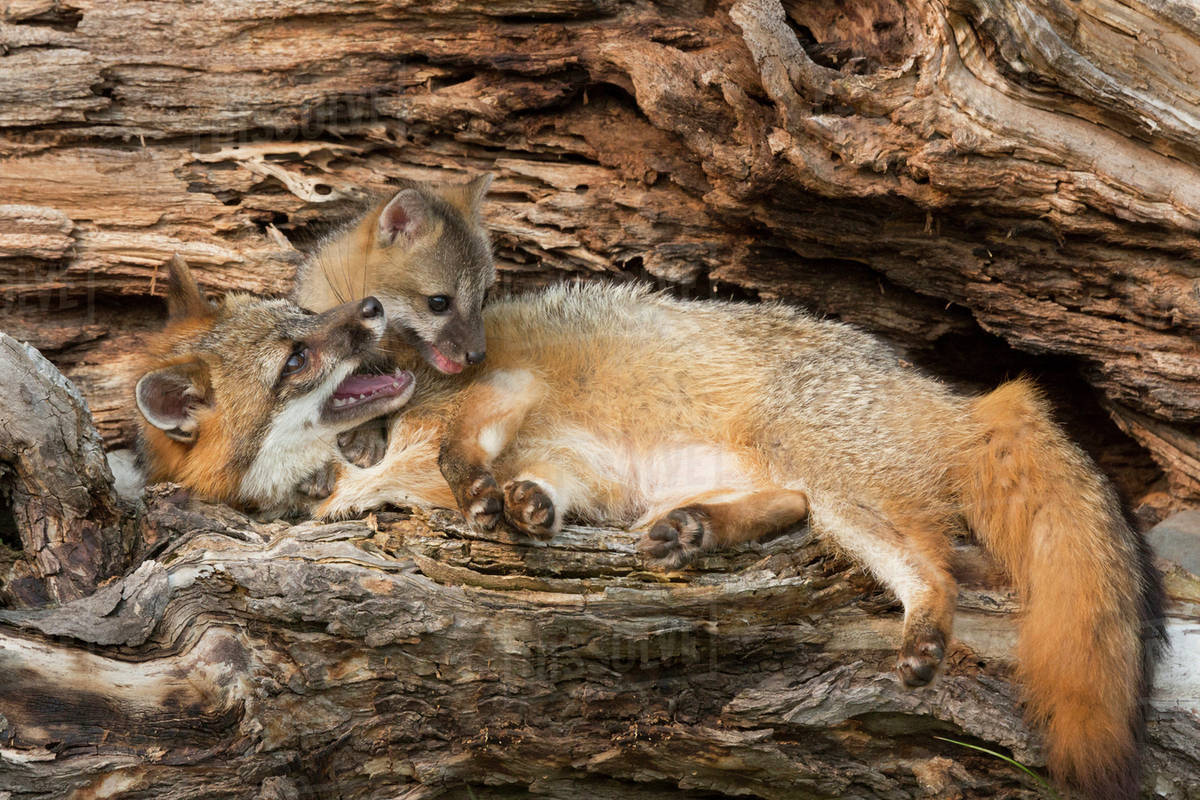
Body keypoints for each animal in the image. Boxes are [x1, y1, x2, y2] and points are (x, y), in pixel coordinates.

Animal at [143, 262, 1163, 799]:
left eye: (310, 325)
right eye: (297, 352)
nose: (371, 313)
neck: (363, 455)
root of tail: (954, 399)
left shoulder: (498, 393)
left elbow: (457, 452)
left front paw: (464, 487)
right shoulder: (575, 462)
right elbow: (514, 485)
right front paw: (512, 505)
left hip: (830, 478)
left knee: (934, 569)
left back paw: (919, 636)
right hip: (783, 490)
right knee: (787, 512)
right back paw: (693, 532)